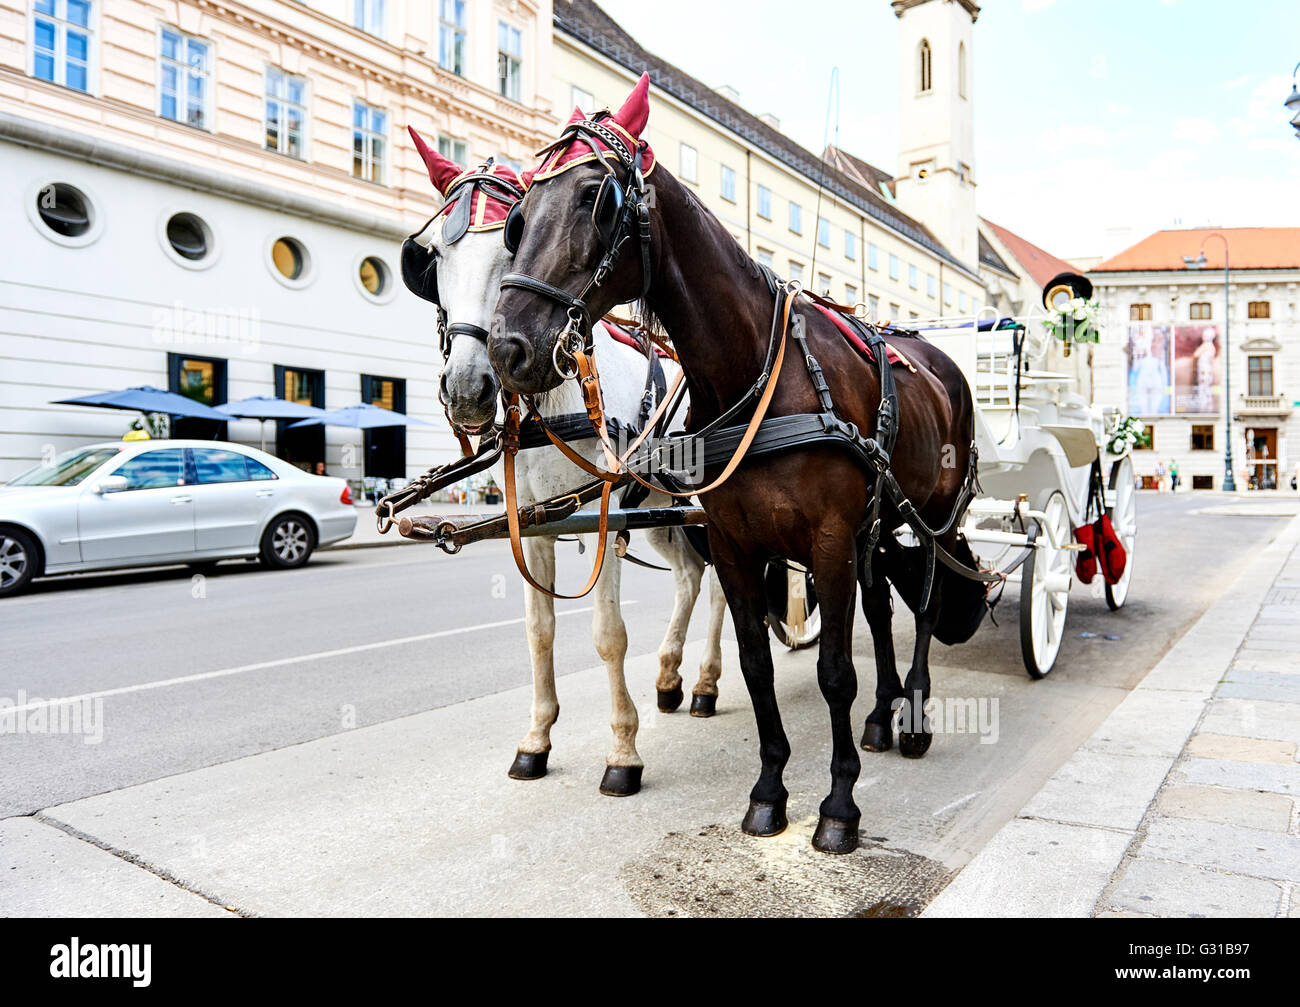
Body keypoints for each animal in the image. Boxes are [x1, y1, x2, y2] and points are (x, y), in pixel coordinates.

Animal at [401, 130, 727, 798]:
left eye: (509, 249)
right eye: (437, 262)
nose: (470, 387)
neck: (557, 403)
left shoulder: (604, 517)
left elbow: (608, 636)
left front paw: (623, 751)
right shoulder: (536, 523)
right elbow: (540, 631)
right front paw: (536, 739)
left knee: (721, 588)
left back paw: (707, 681)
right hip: (662, 509)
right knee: (689, 576)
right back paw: (671, 677)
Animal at [487, 75, 984, 853]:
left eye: (596, 199)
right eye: (519, 216)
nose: (507, 348)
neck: (755, 369)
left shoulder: (829, 539)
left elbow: (833, 670)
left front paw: (839, 805)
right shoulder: (734, 541)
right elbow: (756, 666)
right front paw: (770, 792)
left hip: (928, 517)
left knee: (926, 605)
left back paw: (913, 712)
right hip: (877, 527)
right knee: (880, 608)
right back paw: (882, 714)